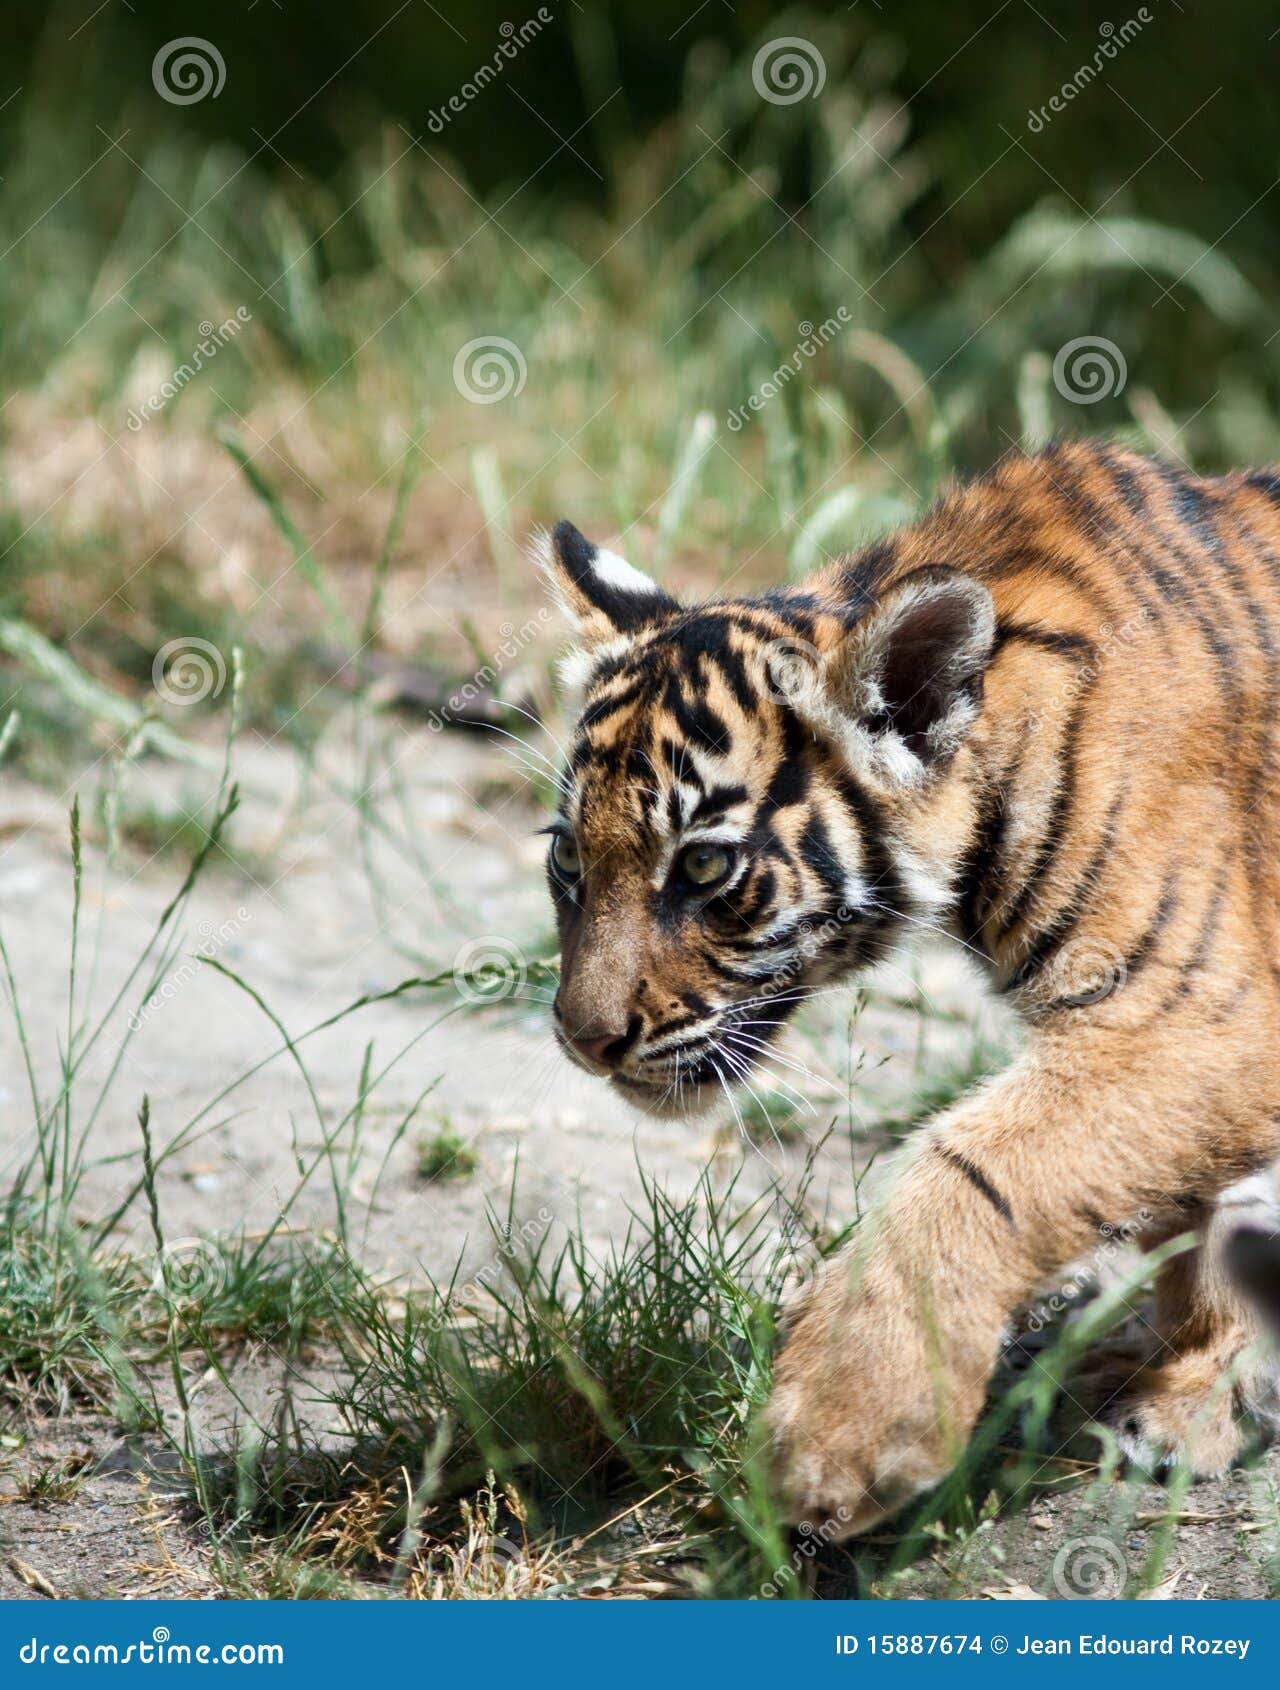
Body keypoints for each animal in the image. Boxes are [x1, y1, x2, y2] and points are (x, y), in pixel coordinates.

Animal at [537, 439, 1280, 1538]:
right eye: (568, 861)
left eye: (703, 865)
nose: (582, 1040)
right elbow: (1206, 1217)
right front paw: (1193, 1378)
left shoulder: (1196, 1017)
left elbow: (979, 1169)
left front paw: (838, 1435)